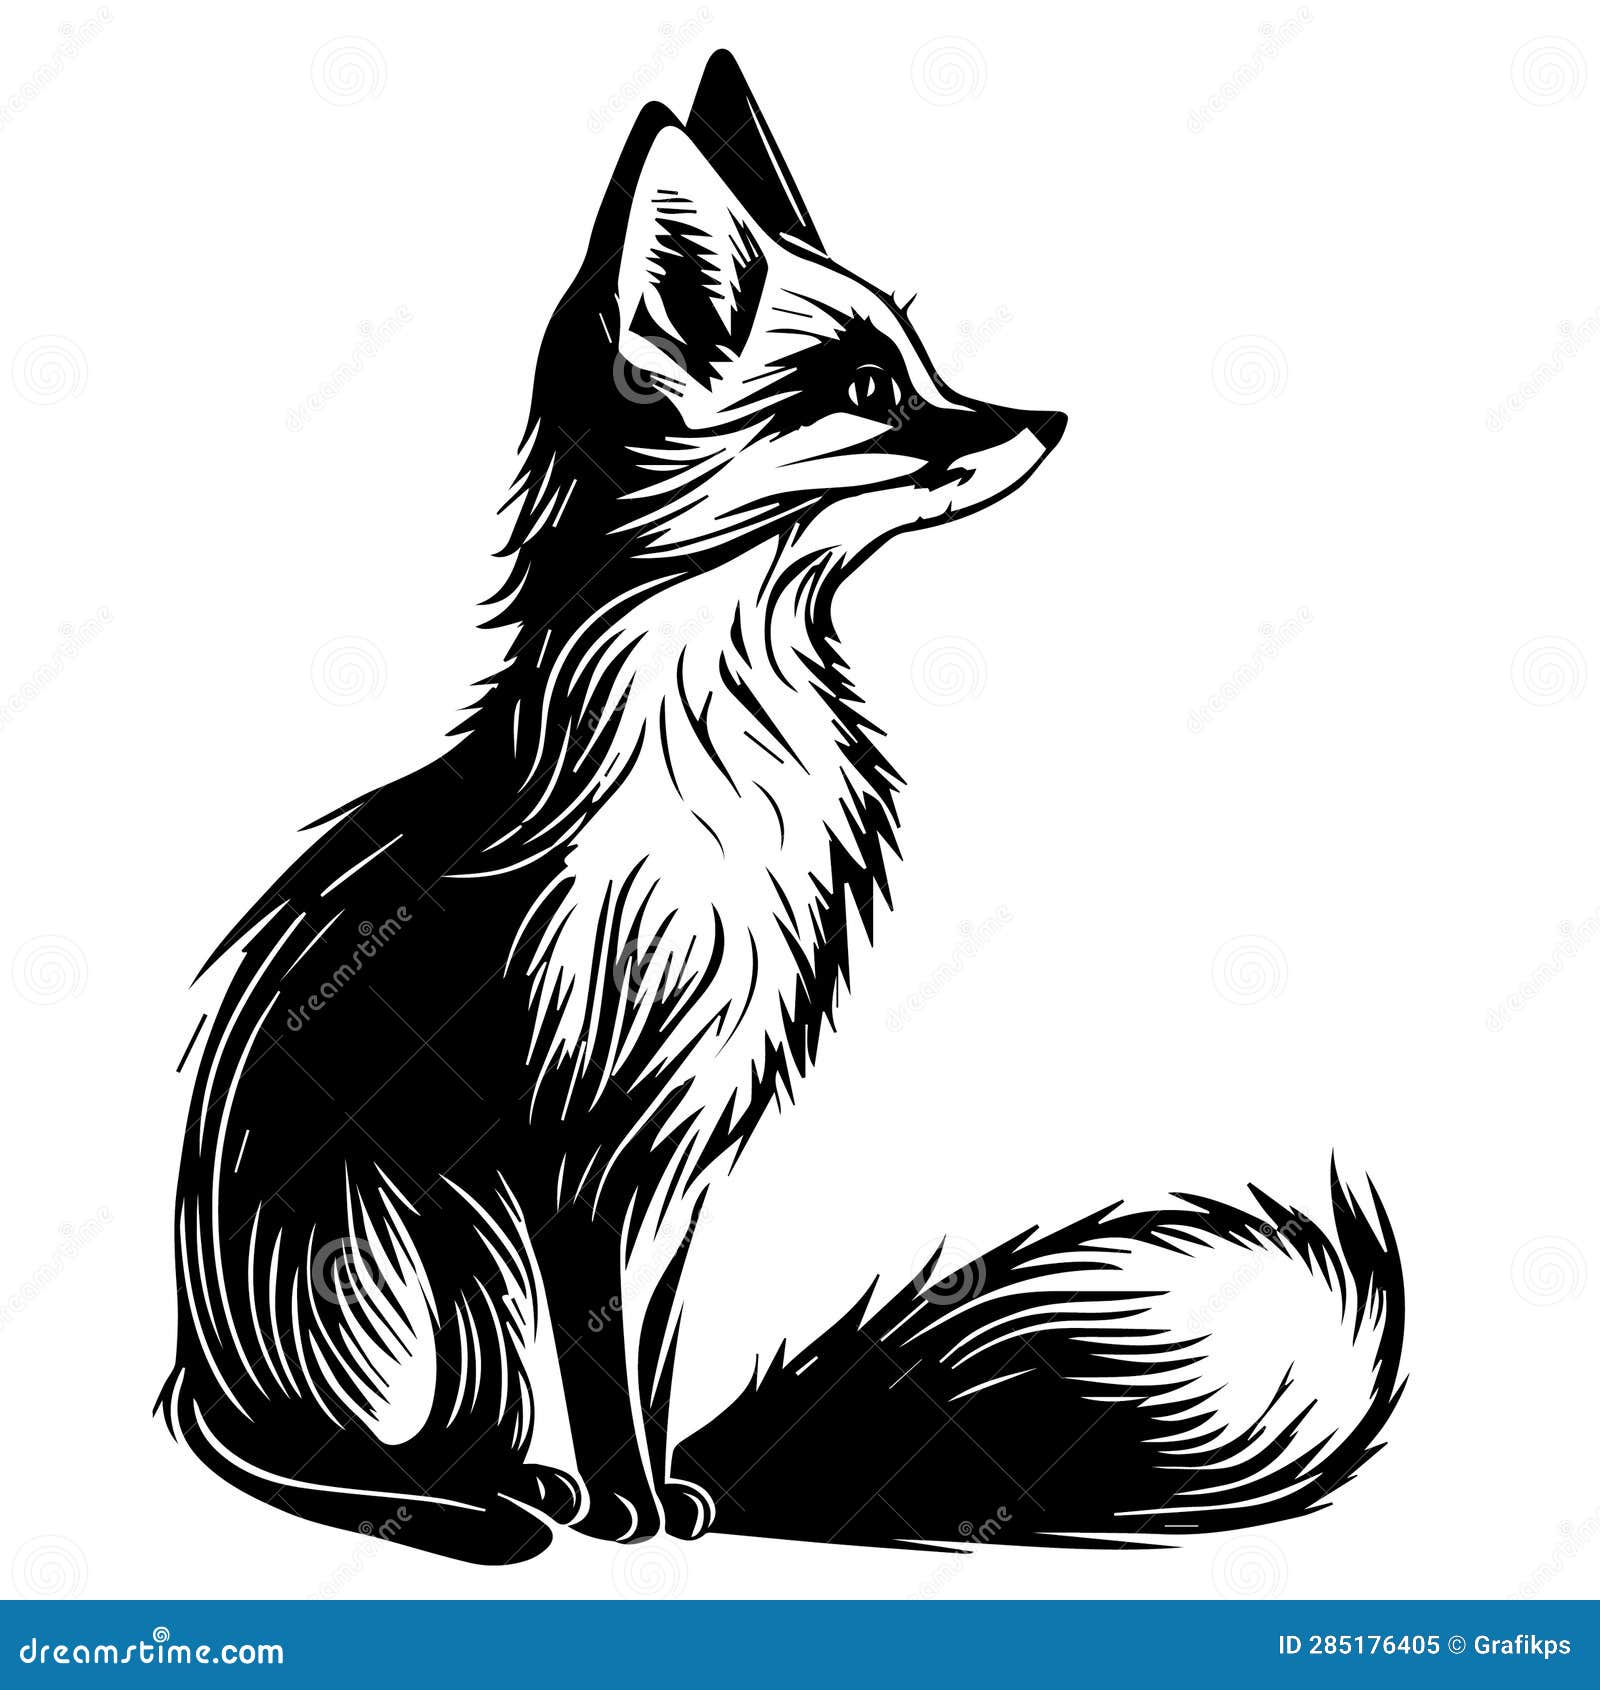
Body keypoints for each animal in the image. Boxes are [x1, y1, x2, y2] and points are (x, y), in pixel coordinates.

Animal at [158, 51, 1403, 1563]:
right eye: (870, 385)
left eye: (926, 363)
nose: (1044, 420)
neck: (728, 773)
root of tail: (200, 1367)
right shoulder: (562, 1151)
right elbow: (596, 1359)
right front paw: (622, 1511)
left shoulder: (680, 1149)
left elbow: (647, 1356)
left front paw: (661, 1498)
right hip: (430, 1257)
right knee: (387, 1450)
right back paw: (495, 1495)